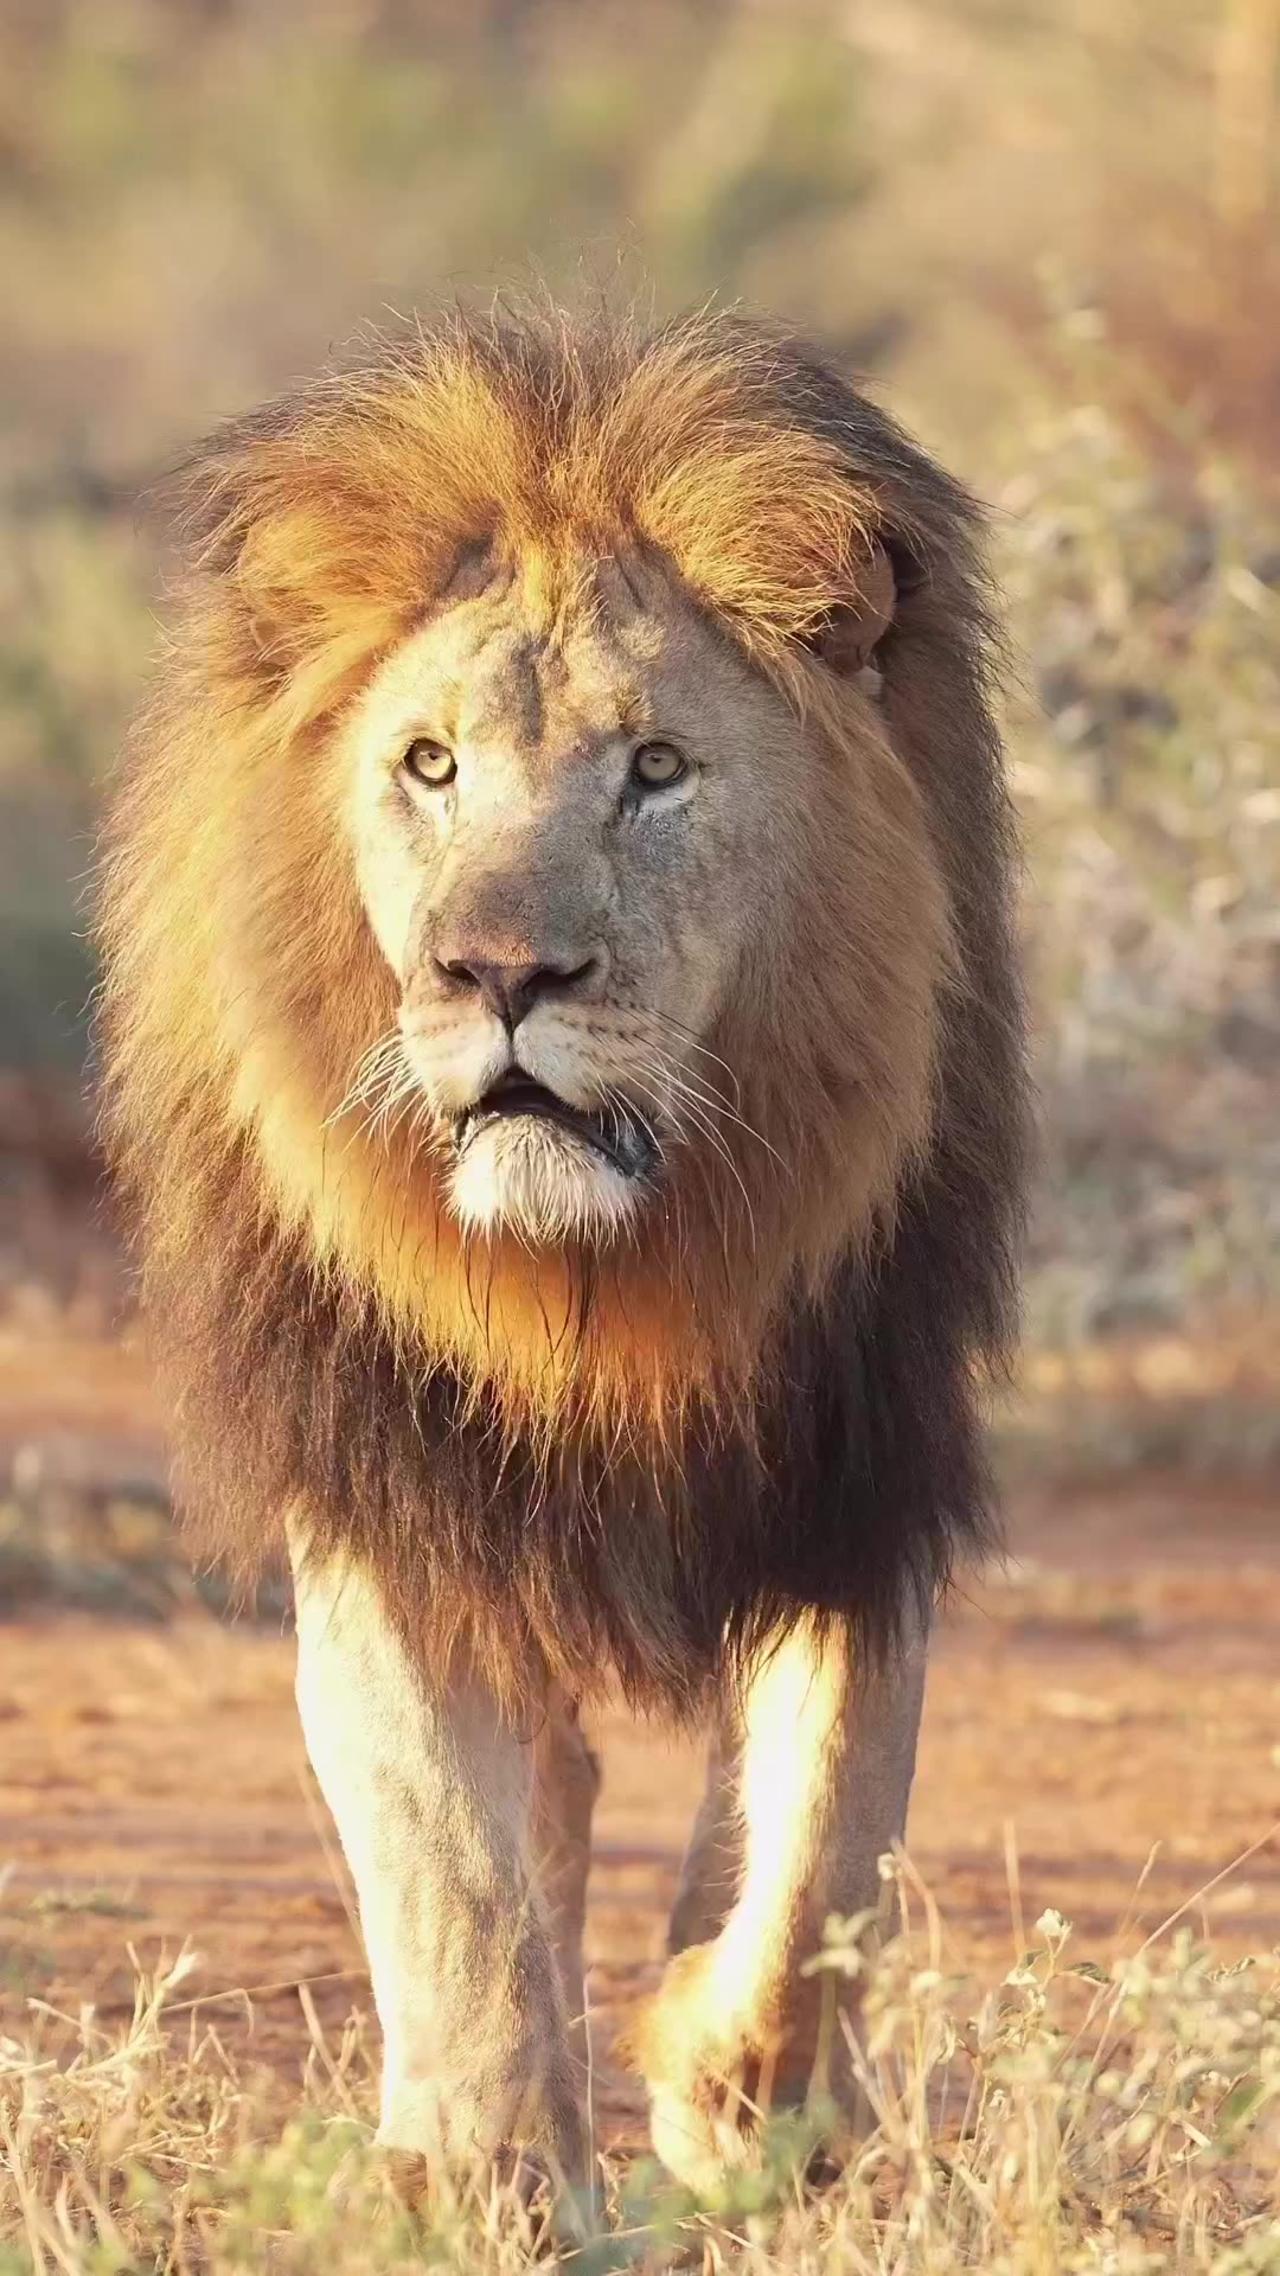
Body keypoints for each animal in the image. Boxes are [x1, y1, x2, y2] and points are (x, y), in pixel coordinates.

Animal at [99, 304, 1027, 2198]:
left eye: (656, 770)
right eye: (429, 765)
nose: (500, 974)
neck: (605, 1282)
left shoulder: (858, 1452)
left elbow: (829, 1829)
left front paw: (737, 2092)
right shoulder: (389, 1483)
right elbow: (449, 1855)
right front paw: (481, 2164)